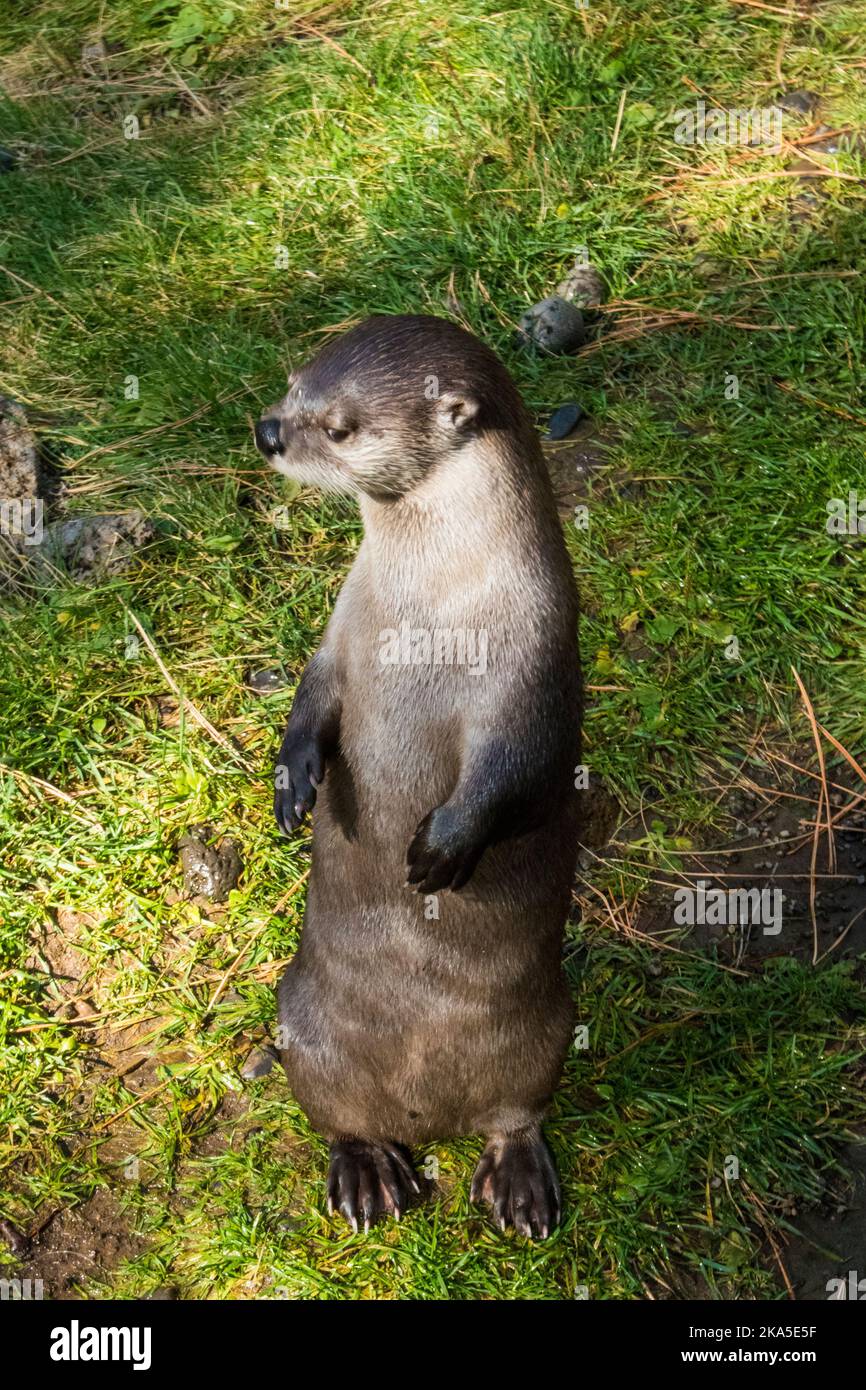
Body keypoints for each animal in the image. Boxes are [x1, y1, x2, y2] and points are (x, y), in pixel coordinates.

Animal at [254, 315, 582, 1239]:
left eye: (339, 426)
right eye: (291, 383)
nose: (267, 431)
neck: (430, 617)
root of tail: (428, 1116)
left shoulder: (536, 665)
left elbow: (521, 767)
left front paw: (440, 848)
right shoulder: (341, 635)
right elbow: (310, 695)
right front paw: (293, 785)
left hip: (550, 1031)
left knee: (517, 1115)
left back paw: (518, 1185)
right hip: (303, 1028)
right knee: (341, 1119)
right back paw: (367, 1174)